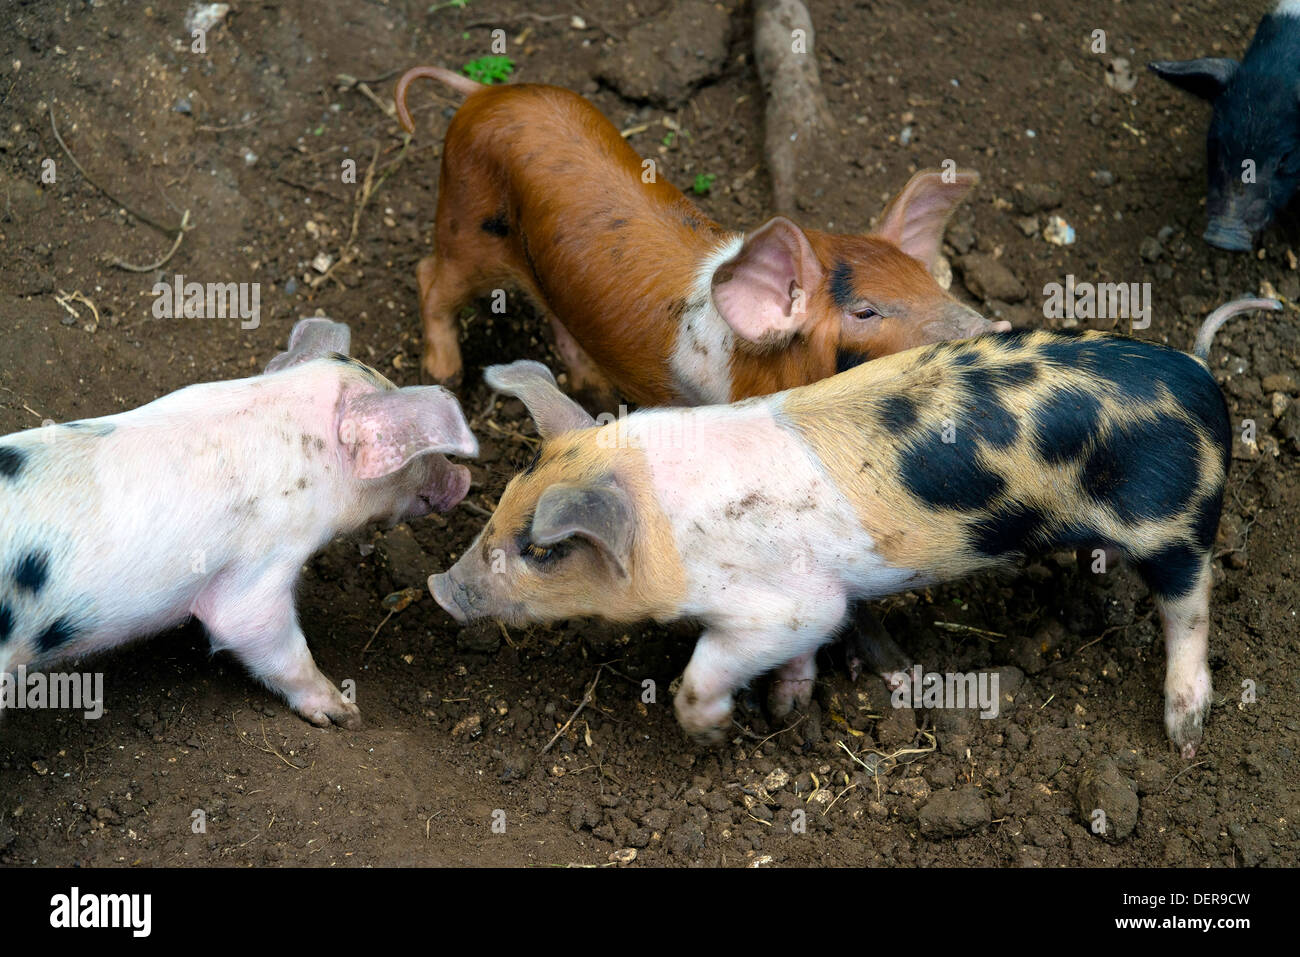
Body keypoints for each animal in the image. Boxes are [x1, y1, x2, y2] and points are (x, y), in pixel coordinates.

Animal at [393, 66, 1009, 403]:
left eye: (929, 284)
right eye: (865, 312)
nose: (992, 326)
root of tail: (479, 94)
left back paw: (592, 388)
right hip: (467, 223)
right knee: (428, 276)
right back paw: (445, 375)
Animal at [431, 299, 1282, 759]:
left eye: (540, 550)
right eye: (499, 509)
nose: (440, 587)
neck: (665, 524)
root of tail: (1200, 378)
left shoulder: (784, 601)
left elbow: (711, 668)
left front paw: (713, 733)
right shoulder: (814, 599)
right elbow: (807, 649)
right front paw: (787, 704)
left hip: (1172, 522)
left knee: (1191, 605)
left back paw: (1183, 730)